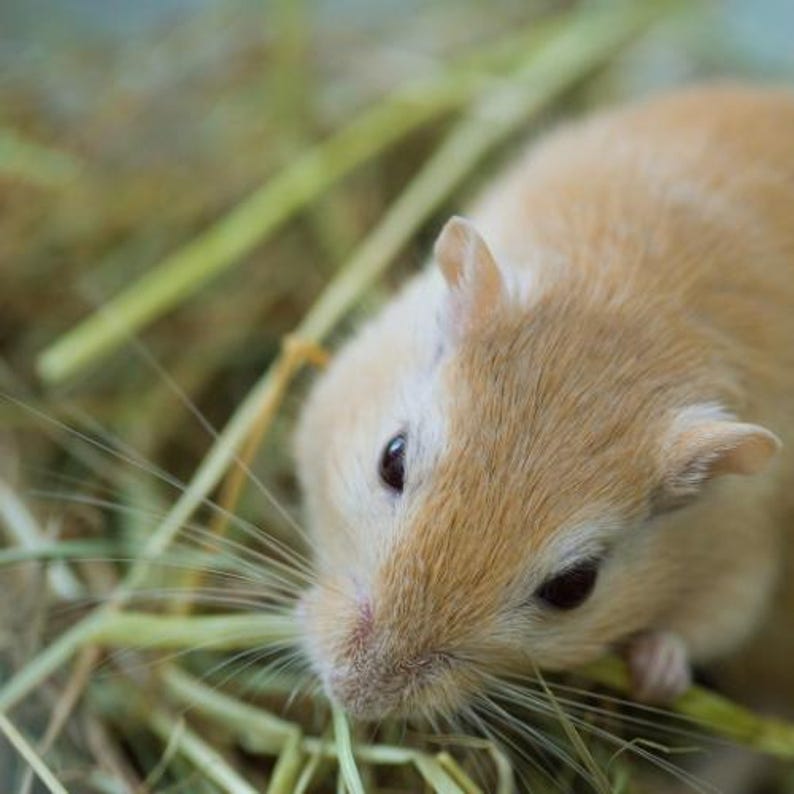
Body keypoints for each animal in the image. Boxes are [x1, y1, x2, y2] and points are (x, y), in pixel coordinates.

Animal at [294, 84, 794, 722]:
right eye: (392, 458)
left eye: (574, 588)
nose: (356, 697)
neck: (634, 318)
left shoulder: (744, 564)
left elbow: (700, 628)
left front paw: (655, 671)